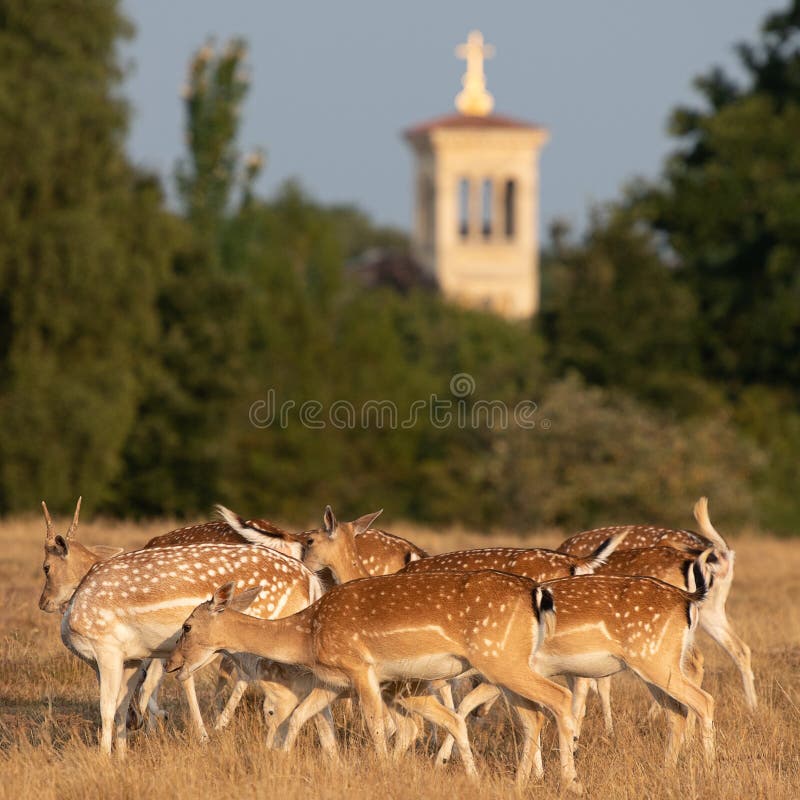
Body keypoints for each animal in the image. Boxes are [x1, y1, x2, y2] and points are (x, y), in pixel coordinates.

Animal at [165, 571, 585, 792]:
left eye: (186, 626)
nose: (171, 665)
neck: (307, 635)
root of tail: (538, 593)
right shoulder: (333, 681)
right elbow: (300, 717)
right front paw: (278, 764)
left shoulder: (360, 667)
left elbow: (375, 723)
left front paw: (381, 773)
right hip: (507, 664)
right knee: (532, 715)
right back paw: (515, 784)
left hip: (499, 658)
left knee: (560, 698)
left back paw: (571, 783)